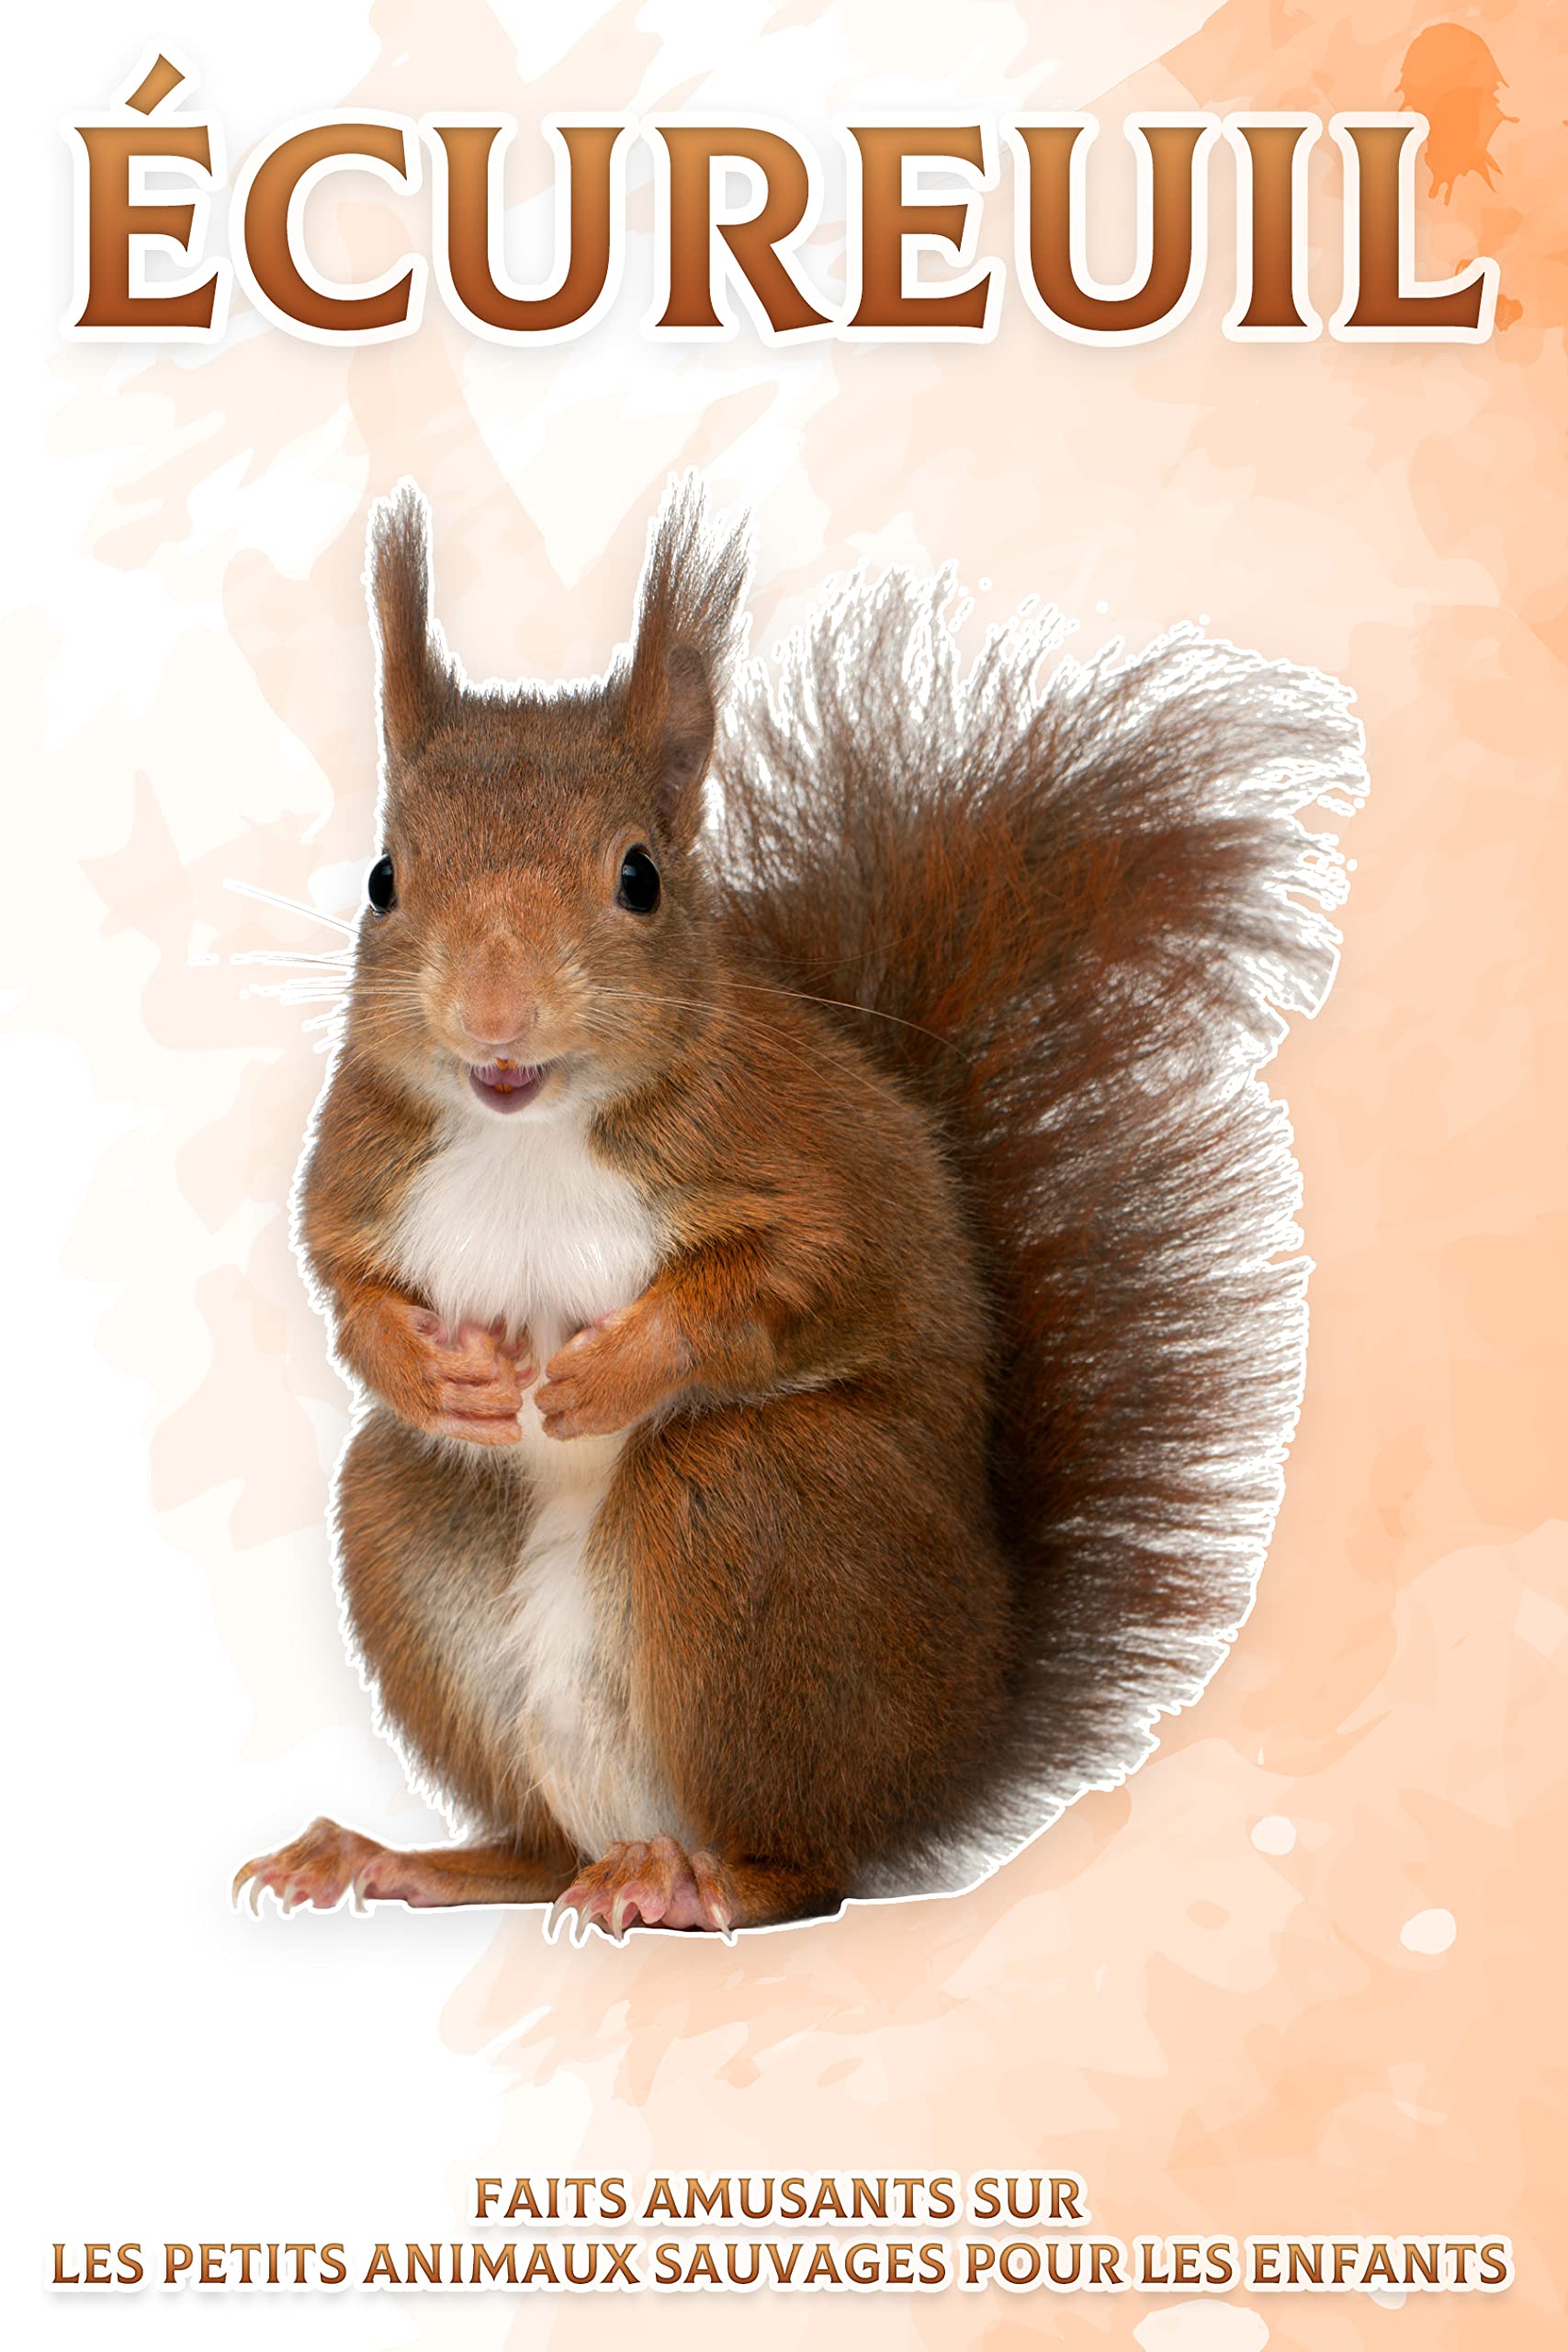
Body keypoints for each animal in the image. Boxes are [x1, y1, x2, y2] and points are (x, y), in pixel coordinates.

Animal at [234, 477, 1358, 1936]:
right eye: (383, 878)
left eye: (639, 877)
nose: (491, 1016)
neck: (529, 1132)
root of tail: (953, 1737)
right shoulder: (361, 1163)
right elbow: (338, 1279)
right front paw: (435, 1372)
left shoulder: (802, 1162)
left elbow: (797, 1281)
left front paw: (607, 1373)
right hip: (409, 1522)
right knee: (531, 1837)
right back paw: (394, 1857)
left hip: (759, 1513)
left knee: (803, 1866)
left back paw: (691, 1882)